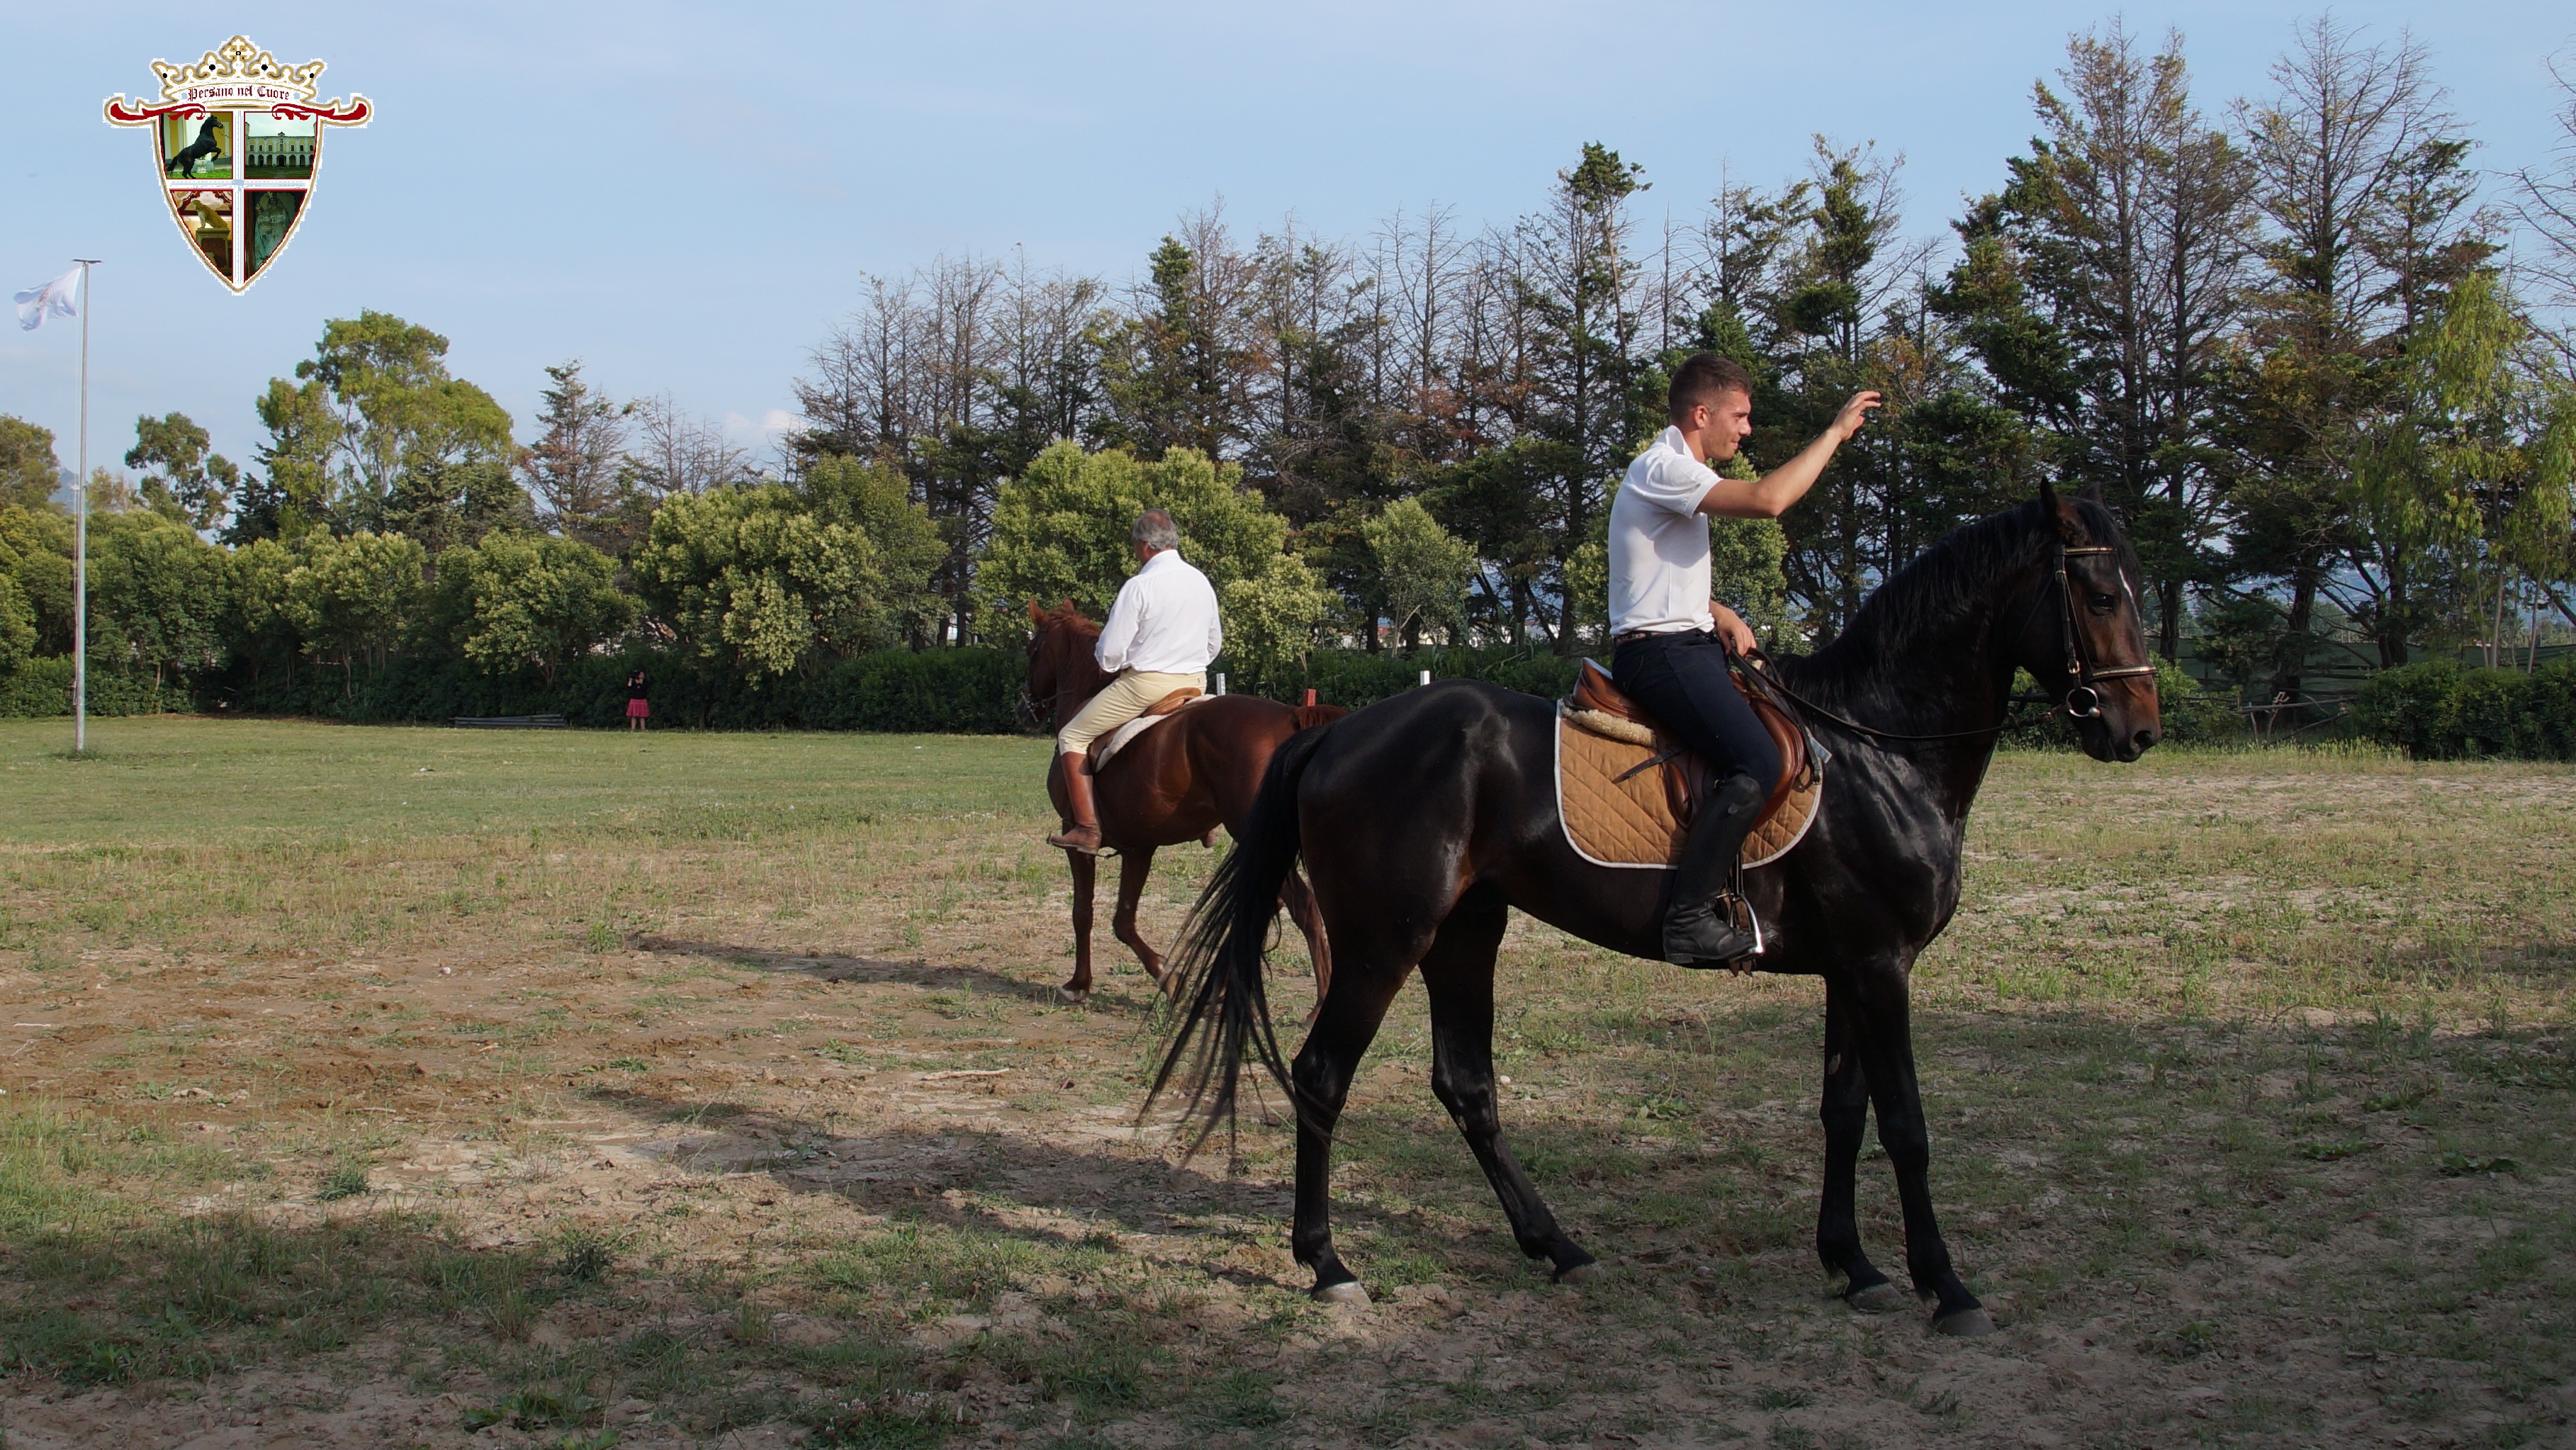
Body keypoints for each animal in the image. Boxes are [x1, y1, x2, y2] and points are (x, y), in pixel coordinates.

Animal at [1024, 600, 1343, 1005]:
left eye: (1031, 651)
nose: (1025, 709)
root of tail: (1290, 716)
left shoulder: (1077, 840)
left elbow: (1084, 912)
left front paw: (1080, 983)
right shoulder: (1139, 846)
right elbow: (1123, 919)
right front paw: (1168, 977)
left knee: (1302, 906)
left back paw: (1317, 1005)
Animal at [1153, 482, 2160, 1337]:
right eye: (2098, 595)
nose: (2138, 730)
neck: (1879, 753)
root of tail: (1330, 735)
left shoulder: (1851, 968)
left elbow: (1844, 1111)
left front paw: (1855, 1266)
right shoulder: (1880, 966)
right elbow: (1906, 1126)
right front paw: (1944, 1287)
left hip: (1464, 933)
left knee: (1465, 1085)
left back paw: (1556, 1247)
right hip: (1381, 941)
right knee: (1322, 1073)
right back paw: (1327, 1264)